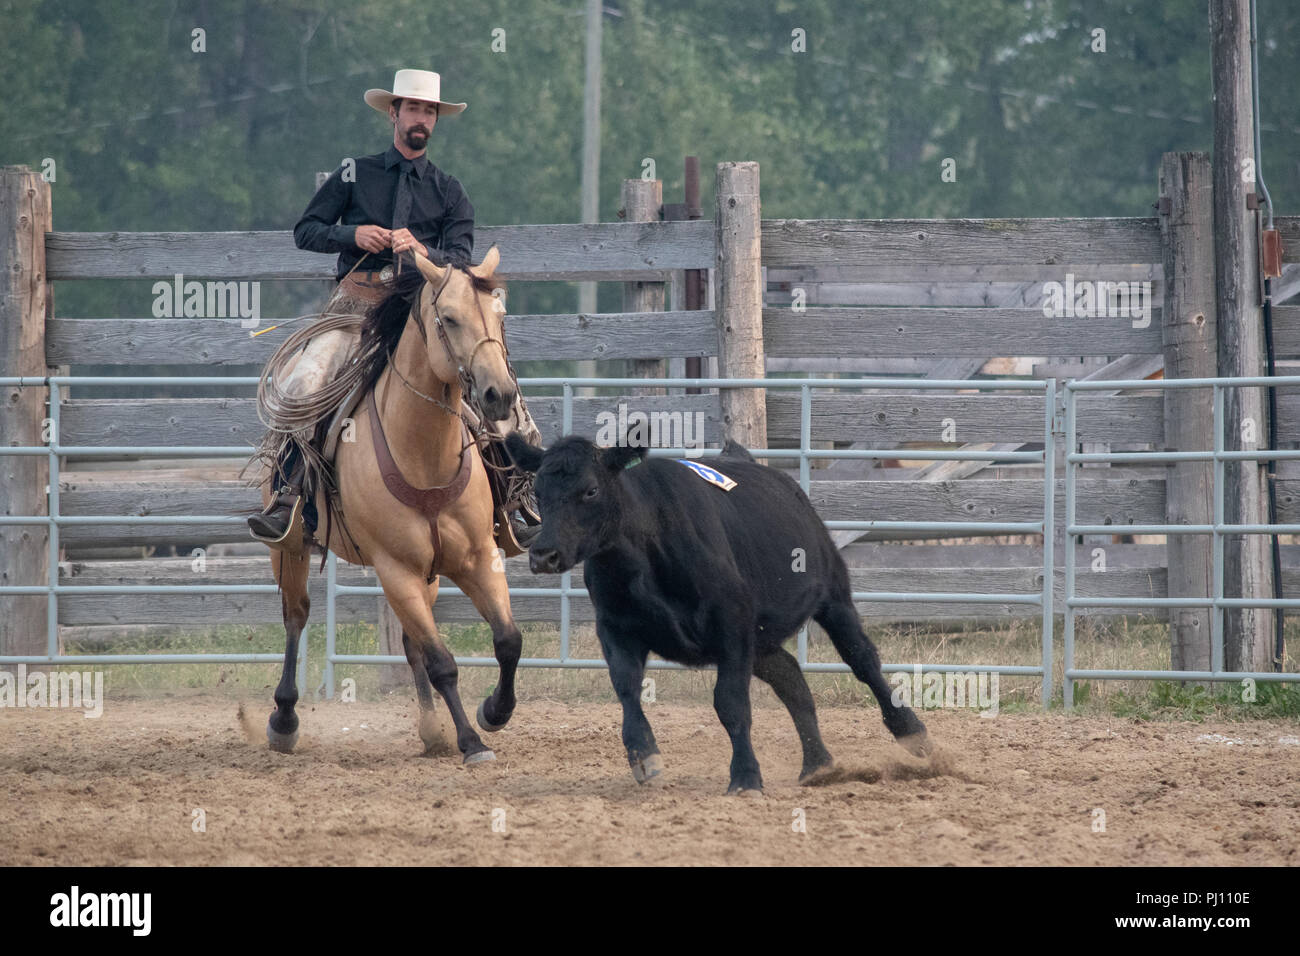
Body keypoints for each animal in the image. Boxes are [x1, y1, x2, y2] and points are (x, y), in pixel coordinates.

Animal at [504, 431, 933, 795]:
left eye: (590, 490)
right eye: (538, 491)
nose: (543, 555)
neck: (642, 554)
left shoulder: (732, 624)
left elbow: (729, 703)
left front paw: (745, 777)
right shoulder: (615, 627)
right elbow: (627, 689)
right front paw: (645, 757)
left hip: (833, 598)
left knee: (863, 661)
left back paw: (913, 734)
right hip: (761, 641)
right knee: (791, 679)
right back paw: (818, 765)